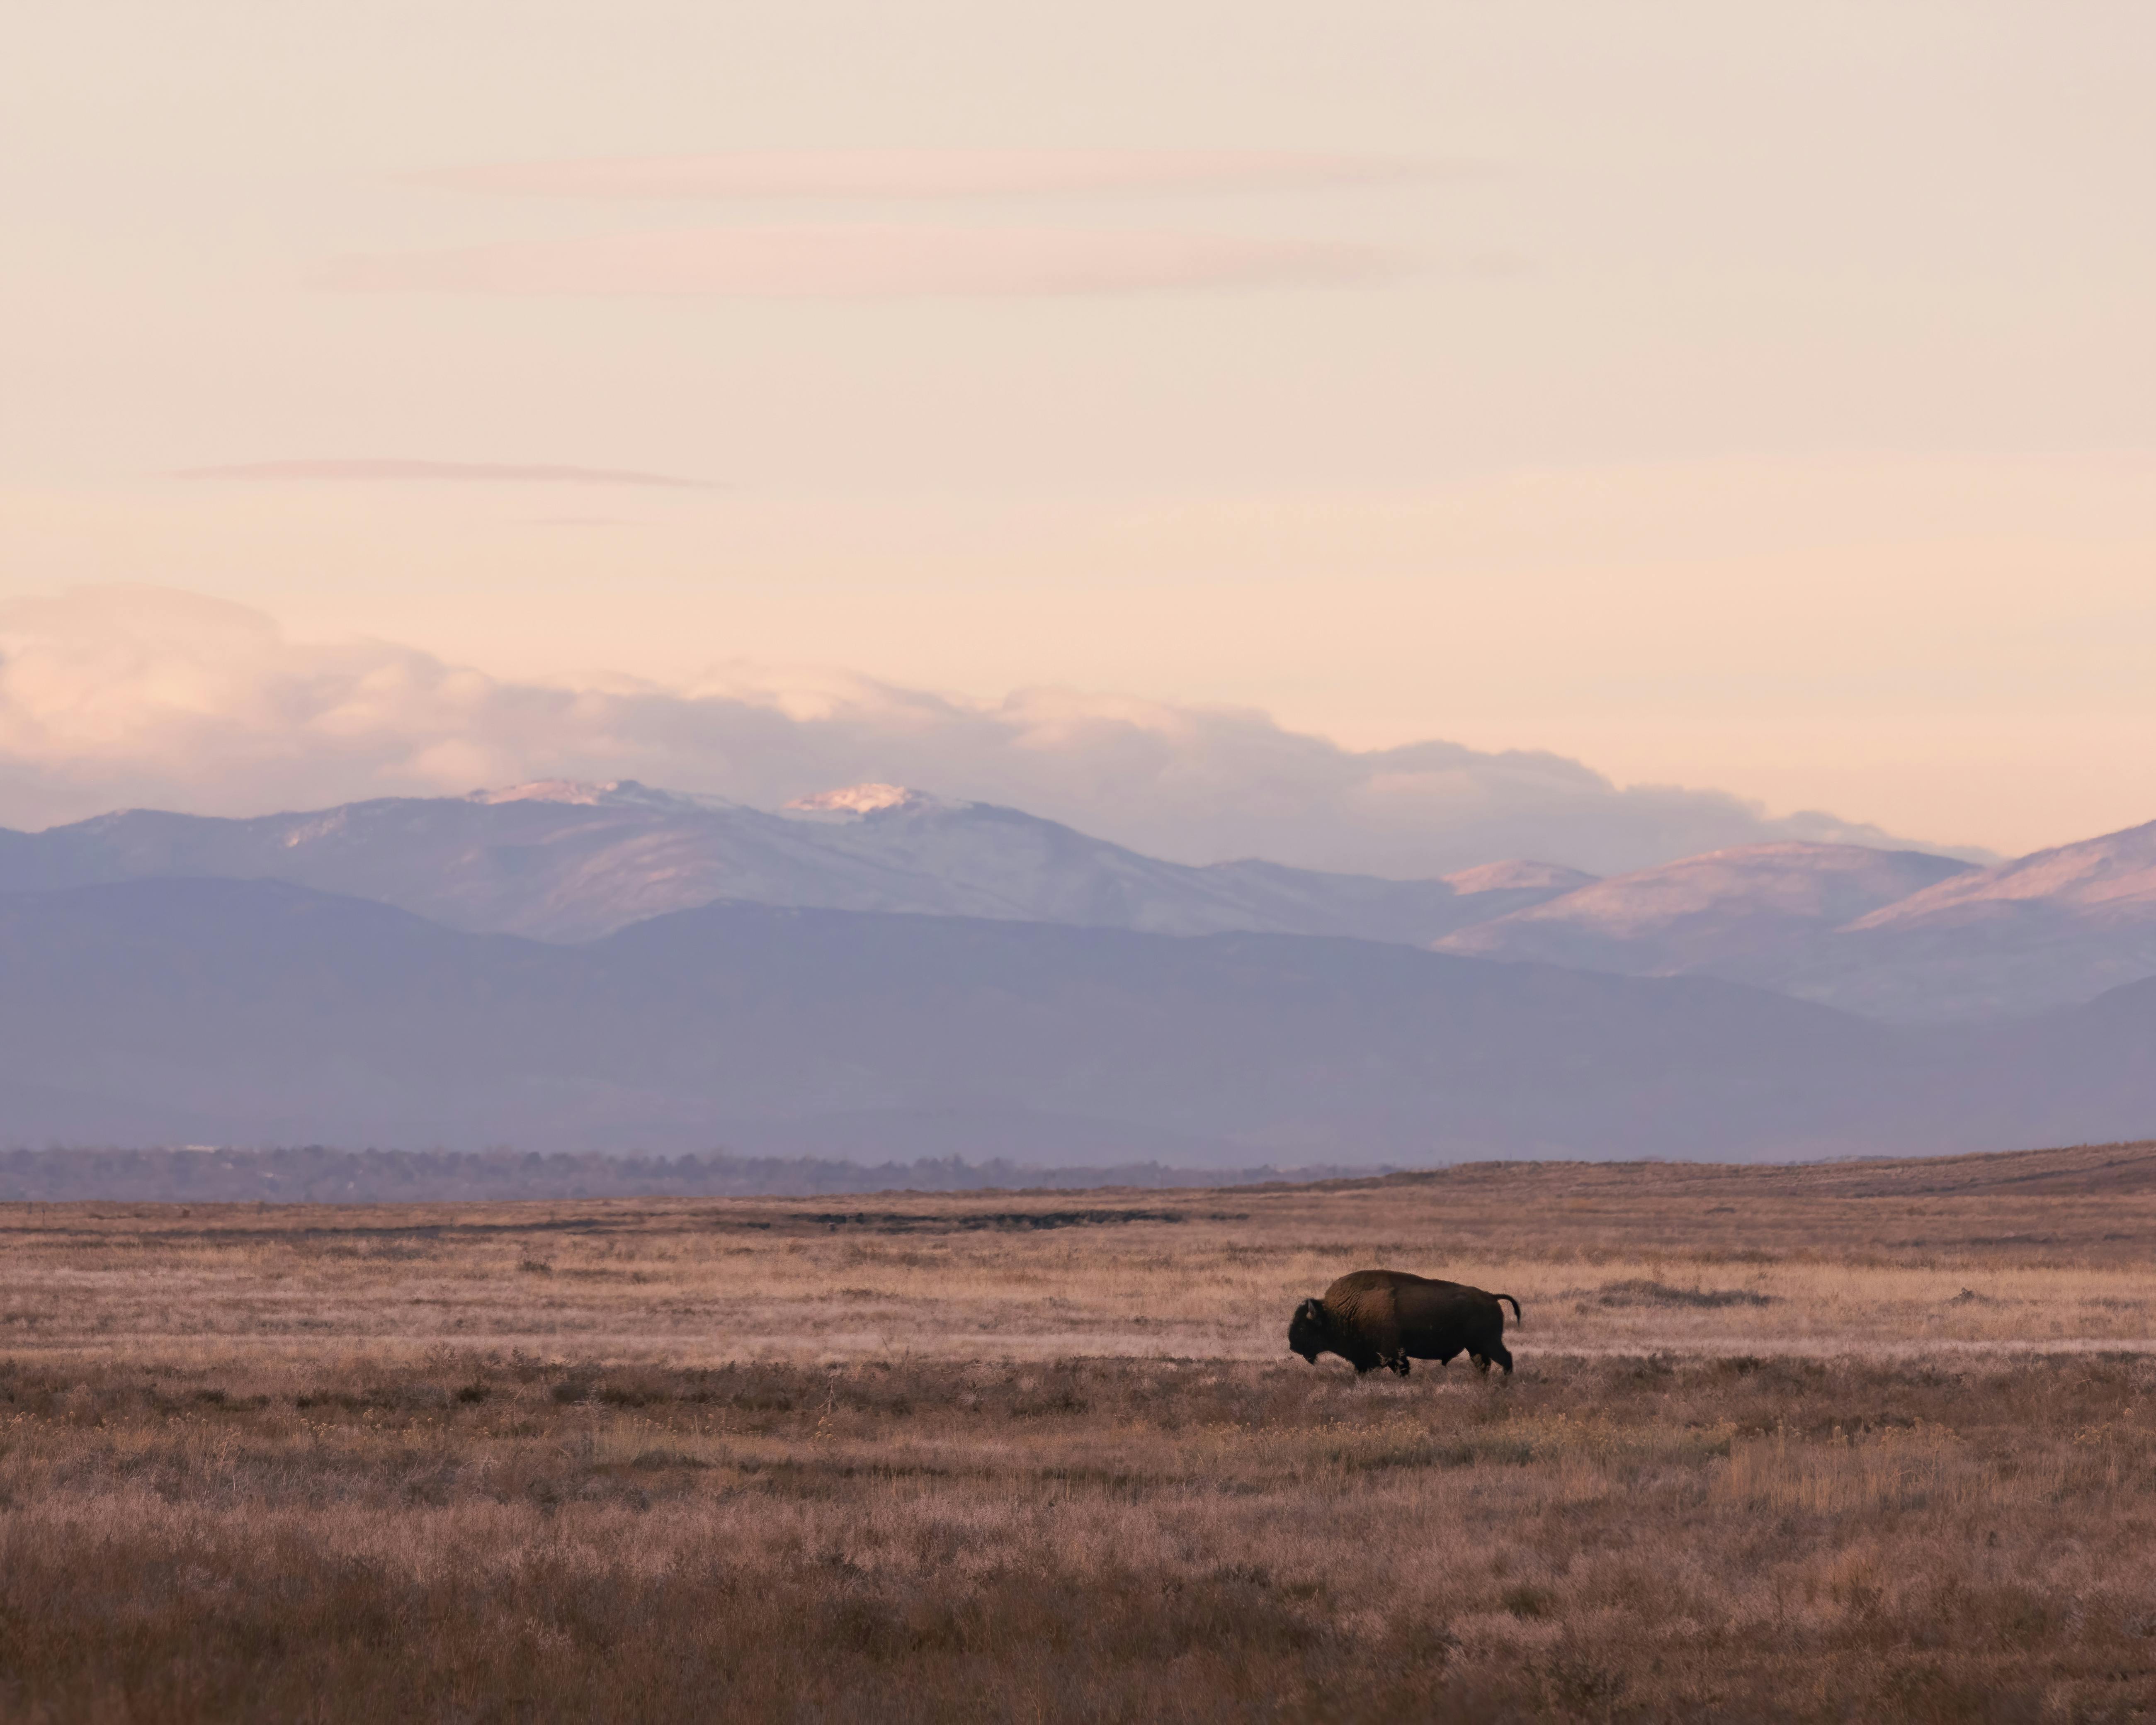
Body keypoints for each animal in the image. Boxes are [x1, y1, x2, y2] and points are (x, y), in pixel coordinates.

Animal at [1288, 1269, 1521, 1378]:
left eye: (1303, 1327)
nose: (1292, 1345)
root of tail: (1491, 1296)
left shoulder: (1393, 1355)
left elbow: (1402, 1370)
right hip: (1475, 1347)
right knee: (1485, 1364)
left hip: (1489, 1342)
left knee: (1505, 1358)